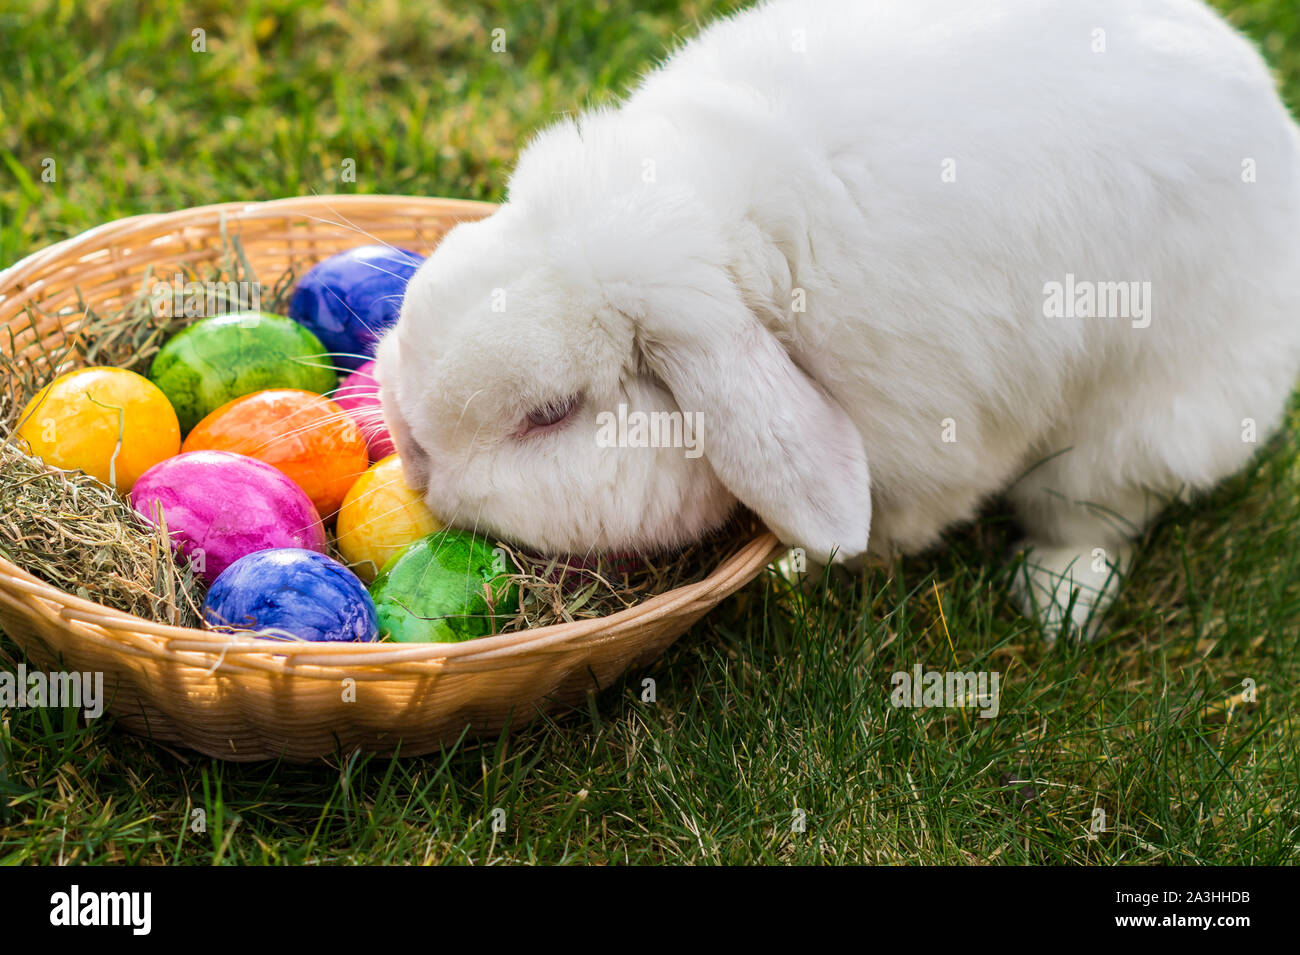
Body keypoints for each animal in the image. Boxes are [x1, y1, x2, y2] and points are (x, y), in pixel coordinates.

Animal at [374, 0, 1300, 641]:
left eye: (550, 415)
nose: (414, 452)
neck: (730, 229)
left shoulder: (935, 436)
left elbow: (889, 527)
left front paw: (804, 570)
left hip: (1143, 431)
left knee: (1096, 517)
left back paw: (1056, 603)